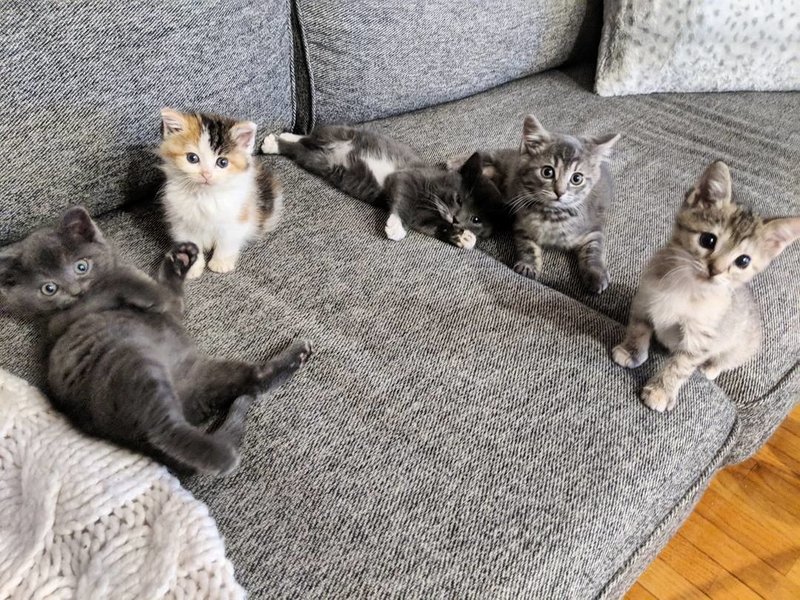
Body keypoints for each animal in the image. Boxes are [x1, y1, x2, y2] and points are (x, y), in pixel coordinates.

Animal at [0, 206, 312, 475]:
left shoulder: (172, 310)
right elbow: (124, 284)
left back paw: (294, 357)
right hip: (133, 364)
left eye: (81, 266)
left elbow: (169, 296)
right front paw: (151, 287)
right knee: (164, 428)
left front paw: (181, 259)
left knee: (253, 382)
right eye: (49, 288)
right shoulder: (63, 319)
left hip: (204, 372)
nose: (75, 290)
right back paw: (223, 456)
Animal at [159, 107, 282, 279]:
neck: (205, 196)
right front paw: (192, 267)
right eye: (192, 158)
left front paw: (221, 263)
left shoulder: (238, 216)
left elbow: (227, 241)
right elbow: (189, 241)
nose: (206, 174)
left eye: (222, 162)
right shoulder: (180, 222)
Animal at [260, 126, 503, 249]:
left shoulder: (423, 218)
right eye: (459, 199)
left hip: (321, 162)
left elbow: (431, 227)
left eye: (476, 220)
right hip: (339, 133)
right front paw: (395, 226)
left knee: (303, 150)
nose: (456, 219)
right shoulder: (409, 177)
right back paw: (277, 141)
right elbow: (403, 198)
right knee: (308, 138)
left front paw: (464, 237)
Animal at [466, 114, 620, 294]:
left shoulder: (592, 226)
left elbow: (594, 249)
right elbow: (527, 246)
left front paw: (596, 275)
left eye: (577, 178)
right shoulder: (521, 224)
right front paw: (528, 265)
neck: (552, 216)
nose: (560, 192)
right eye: (547, 172)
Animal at [612, 161, 800, 412]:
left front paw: (661, 391)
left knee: (727, 359)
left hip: (742, 345)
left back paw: (710, 367)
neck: (685, 286)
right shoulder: (644, 299)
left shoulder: (701, 337)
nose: (716, 270)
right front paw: (631, 351)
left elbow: (681, 364)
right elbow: (638, 327)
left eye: (743, 261)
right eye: (708, 240)